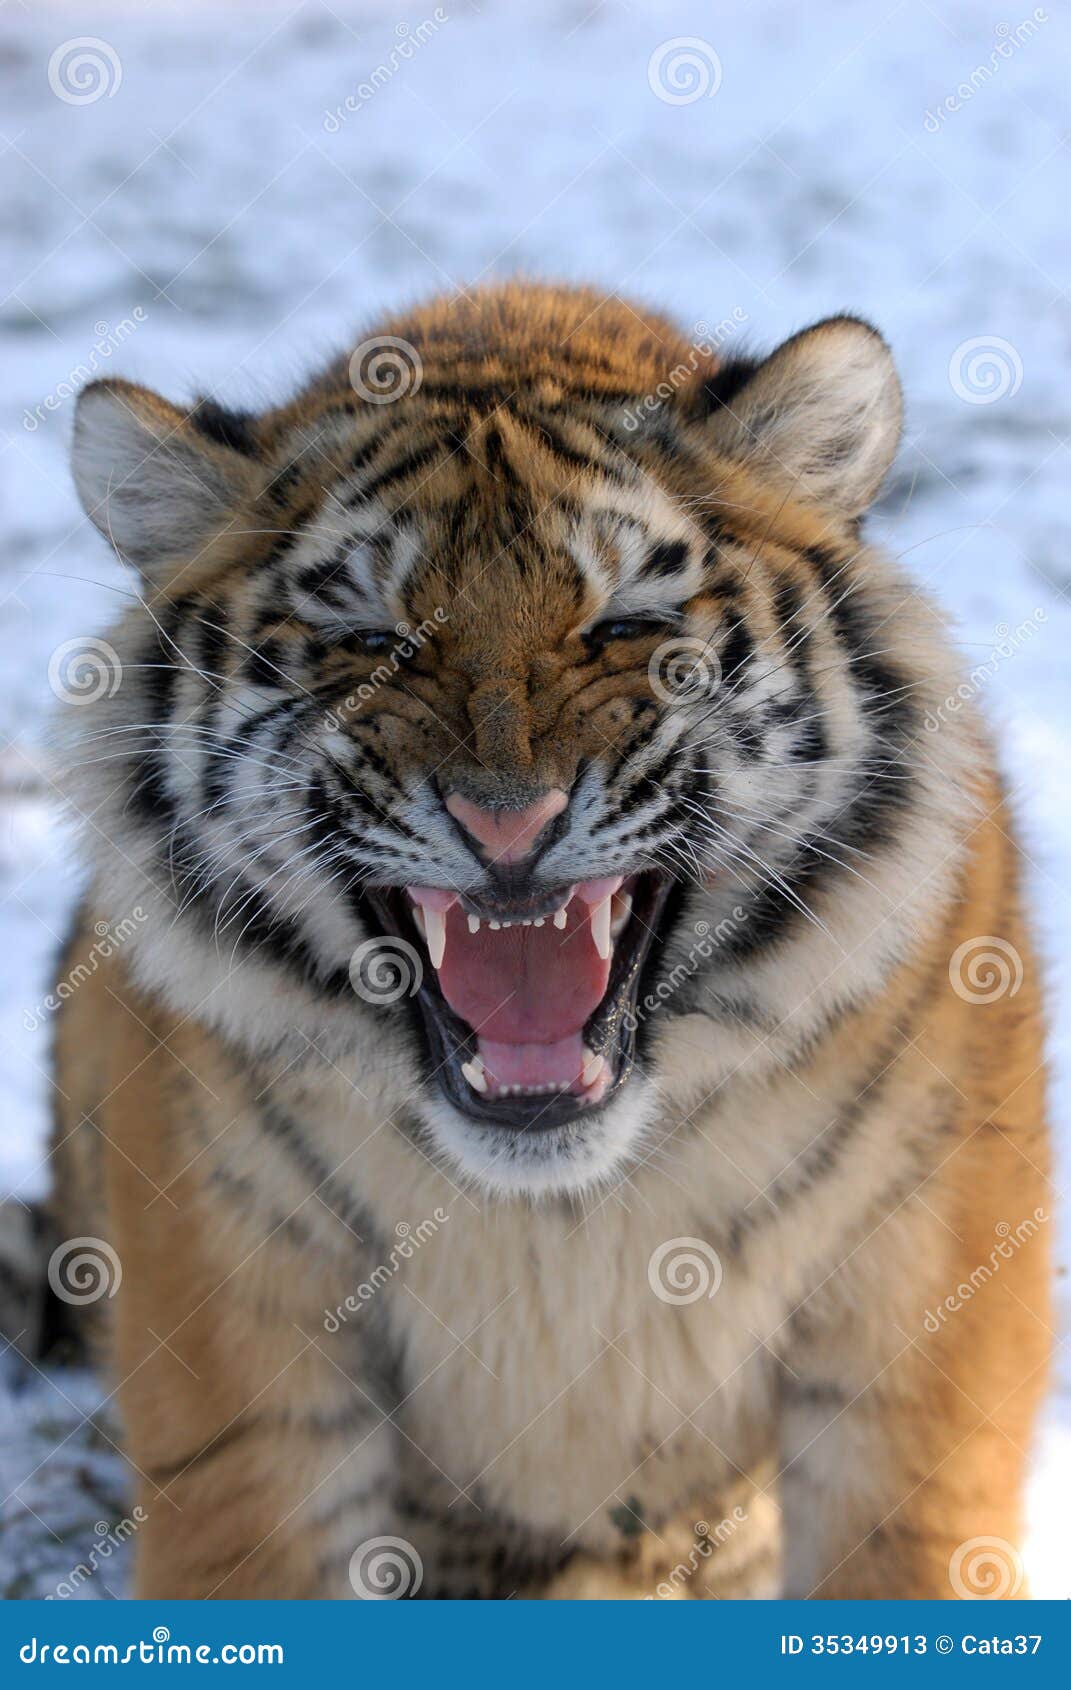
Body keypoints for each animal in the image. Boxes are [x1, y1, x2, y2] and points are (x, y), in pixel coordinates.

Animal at [25, 281, 1052, 1599]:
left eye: (626, 622)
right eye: (374, 638)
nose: (506, 818)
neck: (564, 1202)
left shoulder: (916, 1317)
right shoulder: (240, 1338)